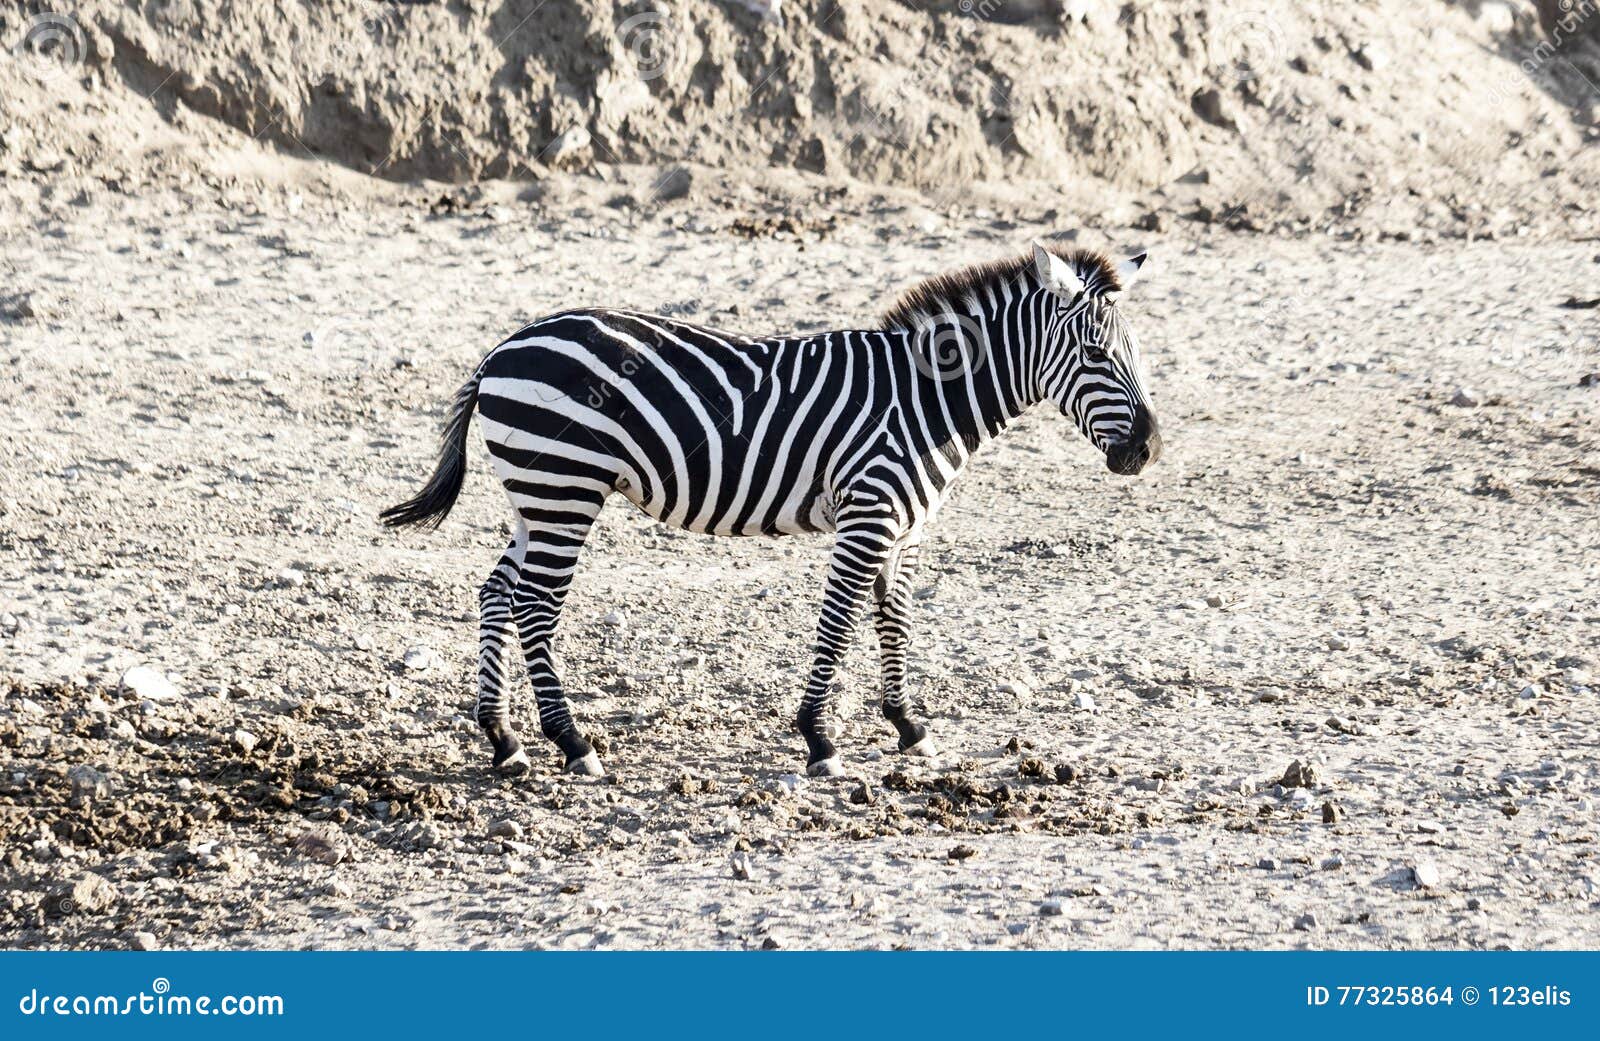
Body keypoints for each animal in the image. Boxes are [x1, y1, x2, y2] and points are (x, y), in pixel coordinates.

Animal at [382, 241, 1162, 778]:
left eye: (1136, 351)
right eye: (1096, 353)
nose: (1146, 451)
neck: (928, 399)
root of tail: (503, 348)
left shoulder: (904, 526)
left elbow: (893, 618)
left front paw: (908, 725)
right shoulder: (869, 513)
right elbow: (840, 620)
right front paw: (819, 738)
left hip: (536, 494)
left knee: (498, 591)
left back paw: (503, 740)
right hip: (566, 488)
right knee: (536, 604)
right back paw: (572, 742)